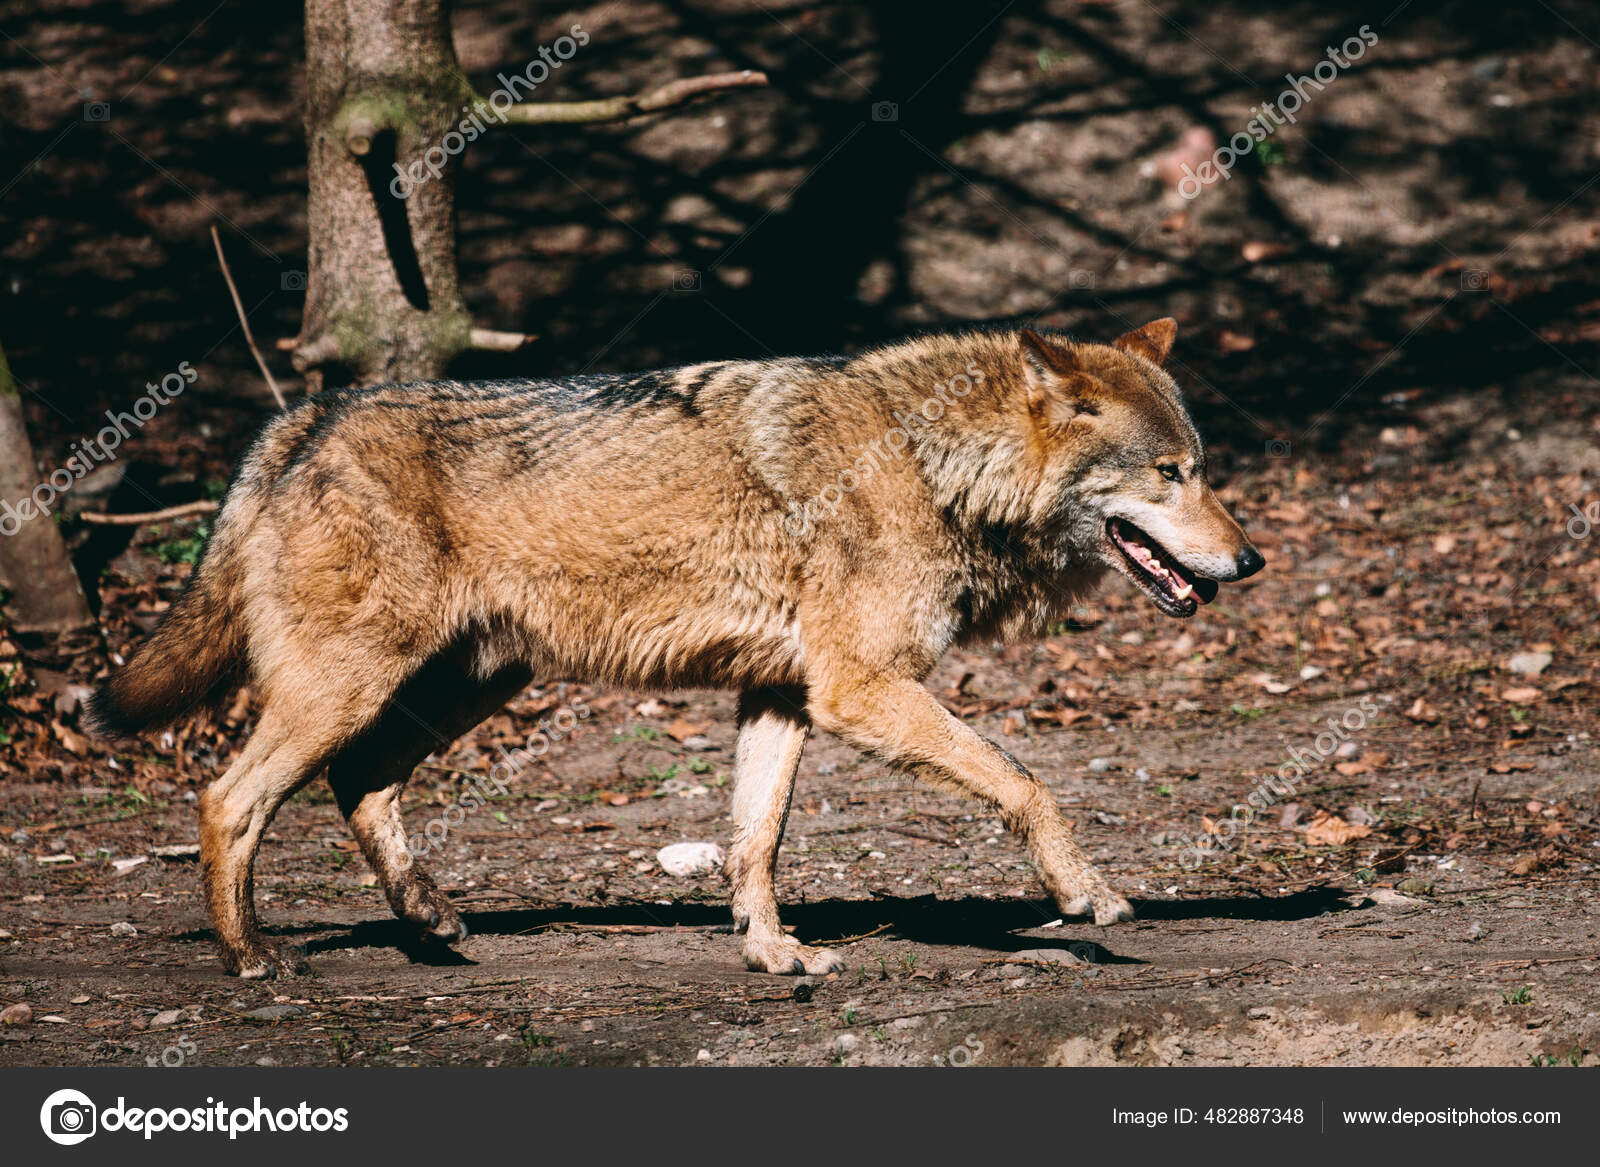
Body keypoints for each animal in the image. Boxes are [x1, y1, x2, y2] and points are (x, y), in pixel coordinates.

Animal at [89, 318, 1262, 978]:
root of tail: (302, 421)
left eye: (1201, 467)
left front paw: (771, 952)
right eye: (1170, 474)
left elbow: (755, 842)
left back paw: (429, 922)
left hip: (463, 683)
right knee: (227, 800)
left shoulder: (783, 699)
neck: (931, 462)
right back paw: (252, 959)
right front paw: (1085, 896)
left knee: (360, 783)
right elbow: (1028, 783)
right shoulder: (861, 690)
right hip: (353, 685)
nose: (1249, 561)